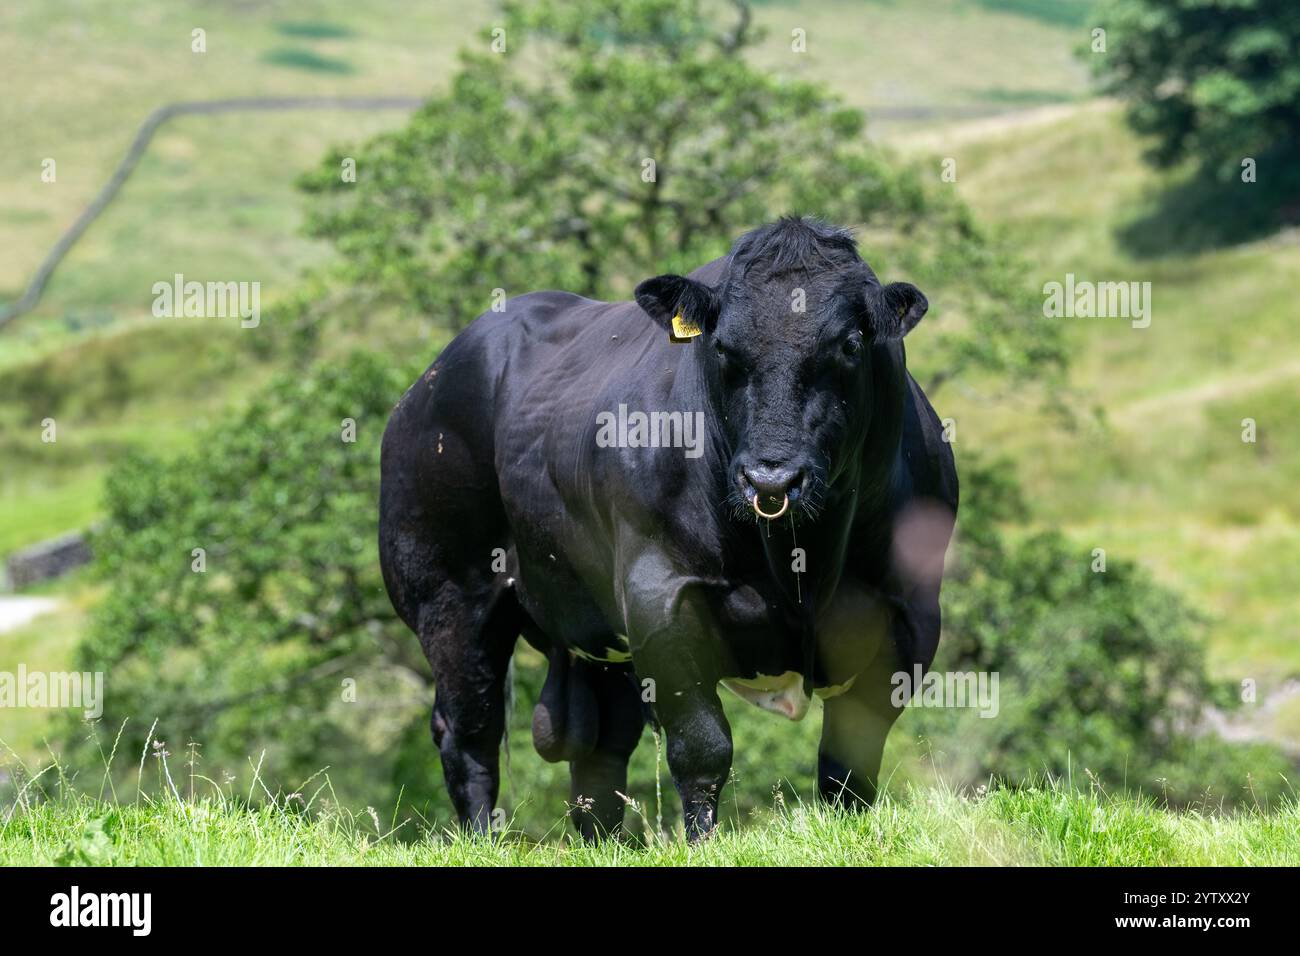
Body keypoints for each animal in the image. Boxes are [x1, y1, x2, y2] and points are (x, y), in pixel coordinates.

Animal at [378, 217, 958, 842]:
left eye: (849, 345)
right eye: (723, 347)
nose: (770, 478)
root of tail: (430, 379)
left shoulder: (908, 614)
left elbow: (849, 763)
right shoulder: (661, 596)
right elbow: (702, 746)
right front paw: (702, 843)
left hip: (595, 630)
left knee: (601, 745)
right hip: (448, 595)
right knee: (469, 730)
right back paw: (483, 839)